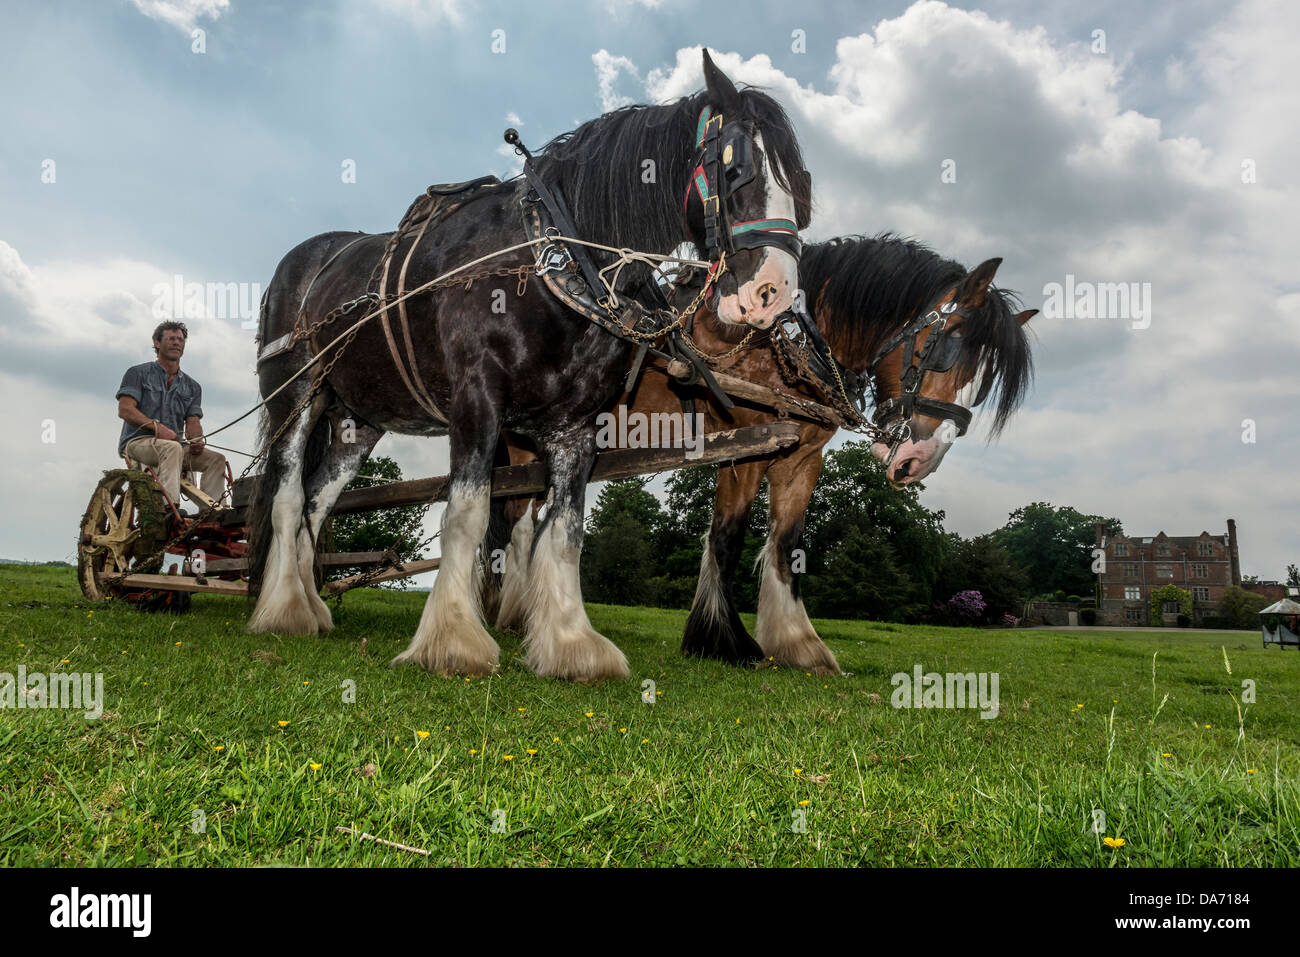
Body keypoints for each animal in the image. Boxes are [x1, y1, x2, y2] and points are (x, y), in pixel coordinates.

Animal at [244, 50, 813, 684]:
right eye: (738, 168)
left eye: (803, 185)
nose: (773, 293)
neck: (551, 261)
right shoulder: (476, 400)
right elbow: (466, 514)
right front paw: (453, 640)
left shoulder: (576, 426)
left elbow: (564, 531)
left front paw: (570, 644)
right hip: (293, 393)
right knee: (286, 494)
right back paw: (283, 608)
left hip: (356, 419)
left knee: (317, 503)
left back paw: (310, 606)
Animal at [488, 234, 1035, 674]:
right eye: (950, 345)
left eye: (985, 379)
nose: (922, 458)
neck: (781, 349)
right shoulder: (746, 450)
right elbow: (727, 539)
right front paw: (722, 640)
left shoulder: (802, 461)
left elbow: (786, 546)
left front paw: (799, 644)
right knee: (518, 520)